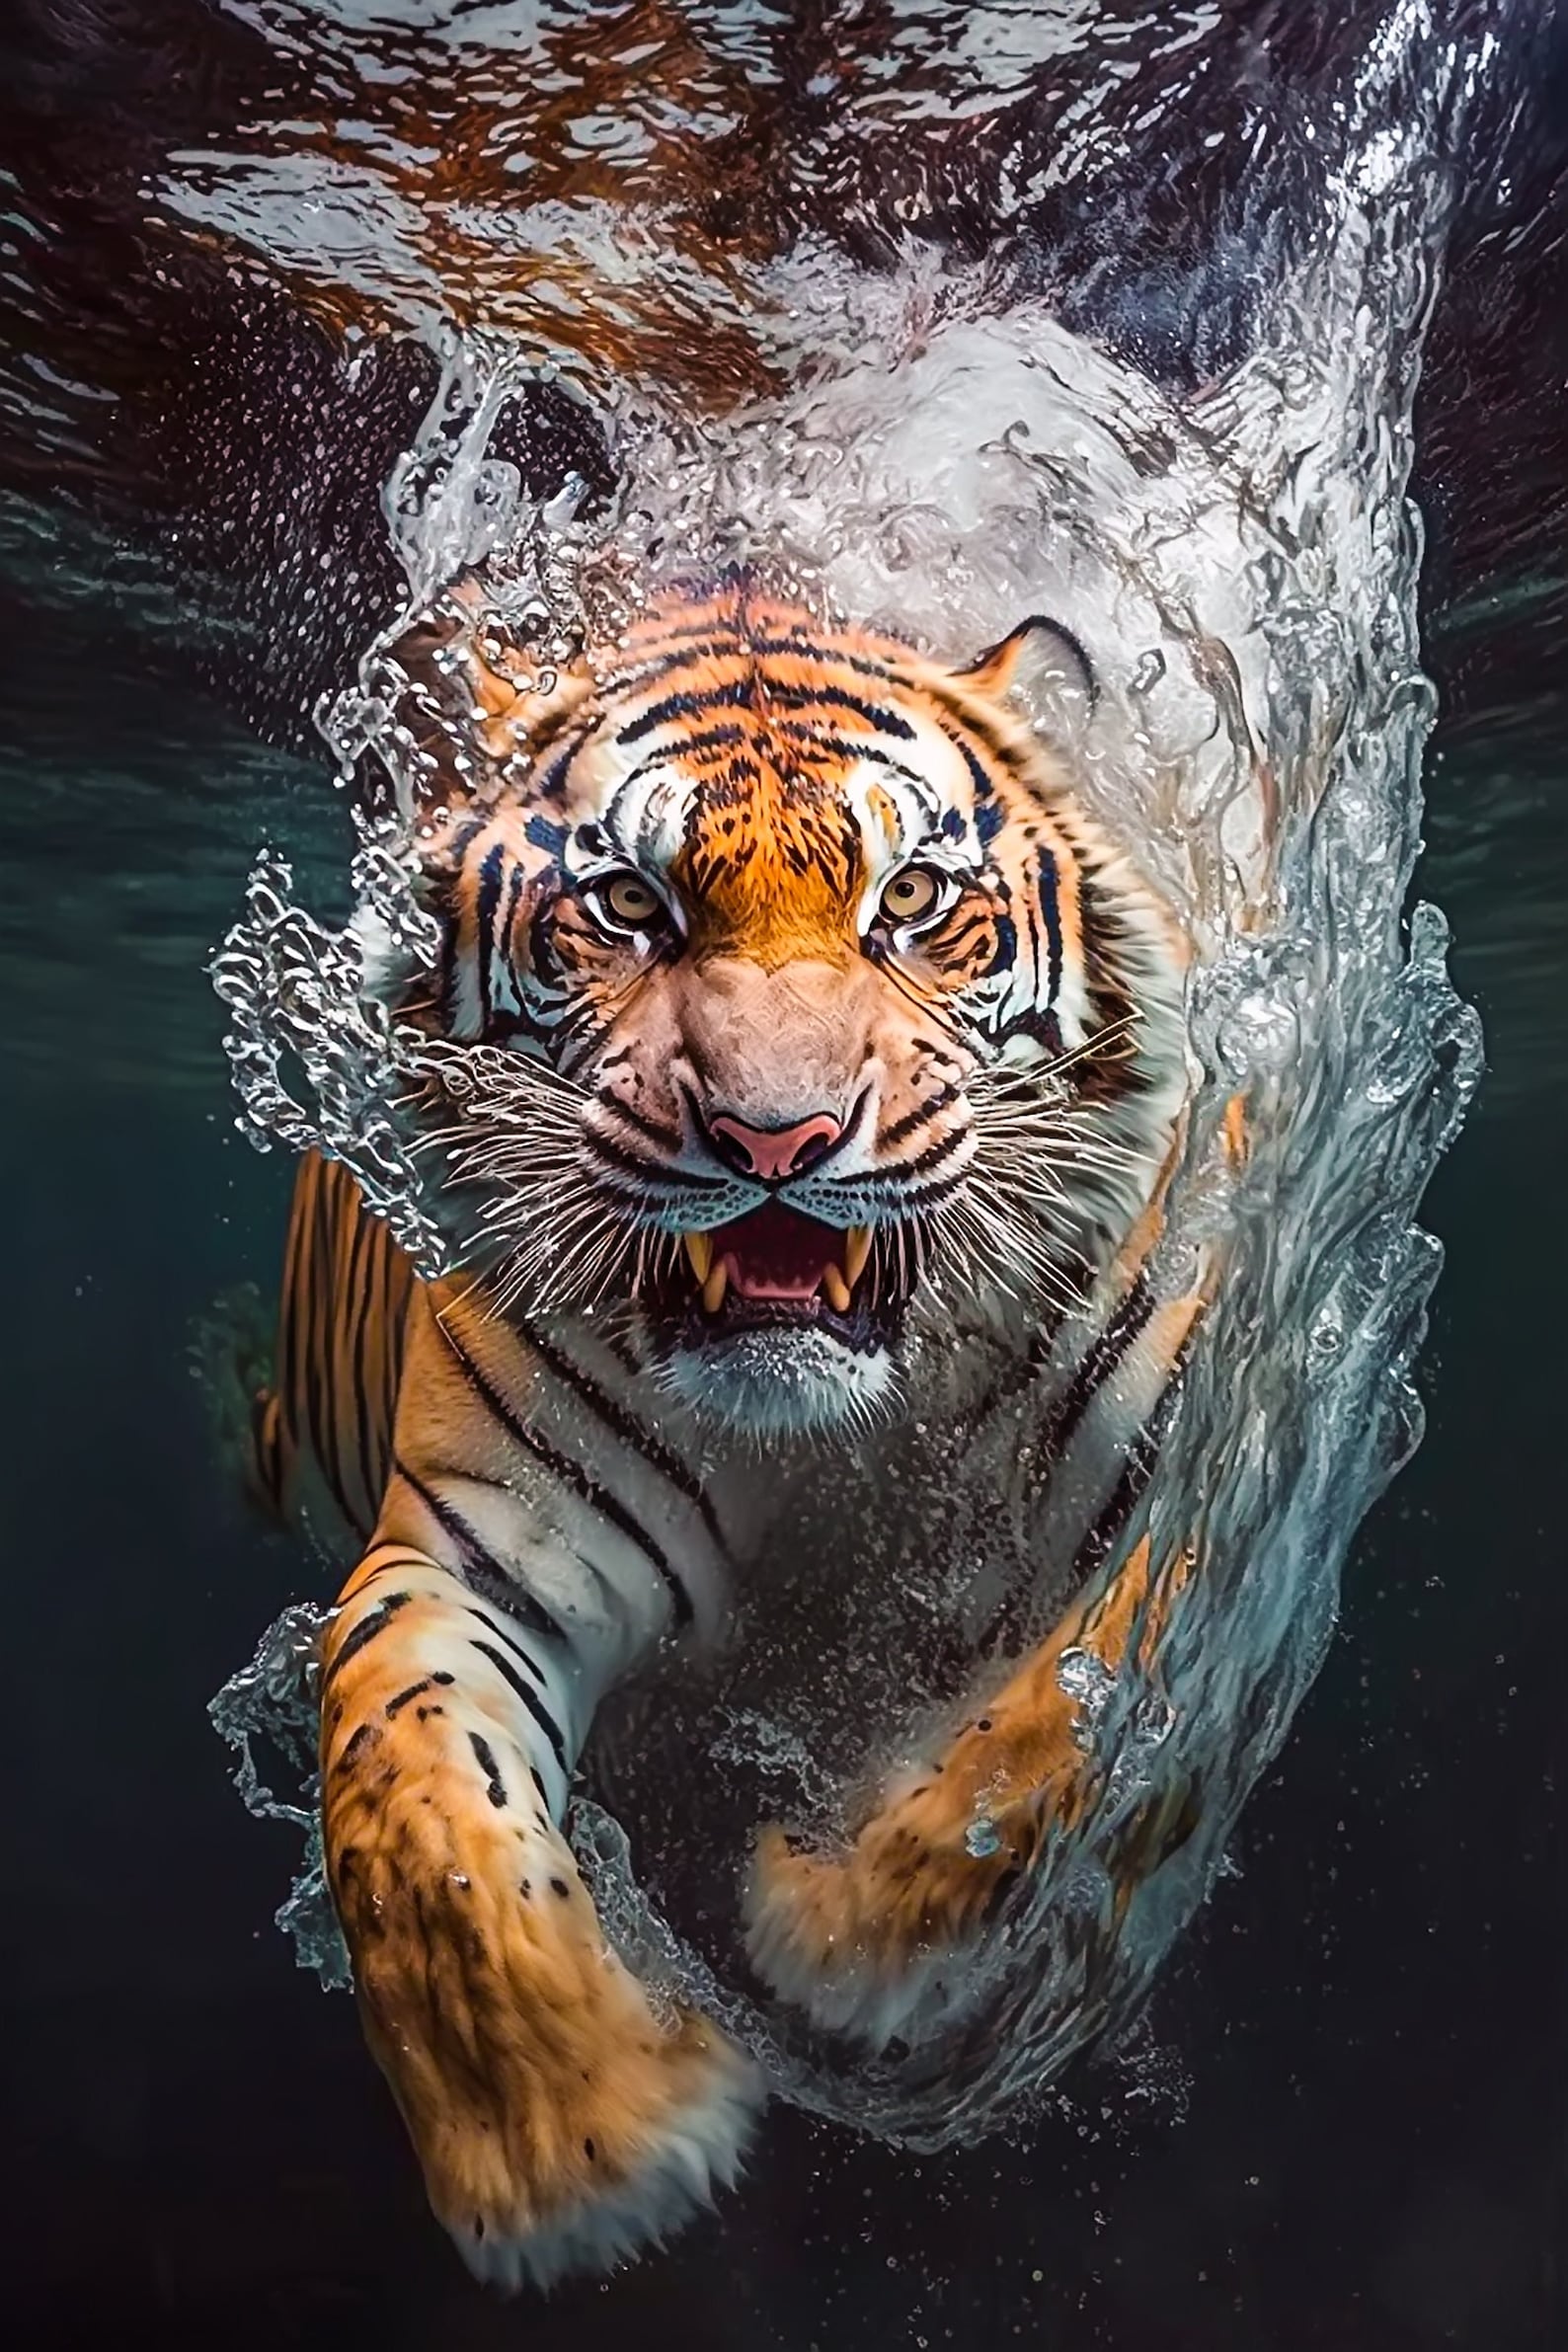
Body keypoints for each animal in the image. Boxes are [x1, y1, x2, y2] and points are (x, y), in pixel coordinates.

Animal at [249, 573, 1222, 2291]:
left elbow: (1085, 1722)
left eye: (912, 899)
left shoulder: (1178, 1478)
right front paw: (582, 2132)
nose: (779, 1135)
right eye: (630, 906)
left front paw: (843, 1931)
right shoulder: (470, 1559)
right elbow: (411, 1798)